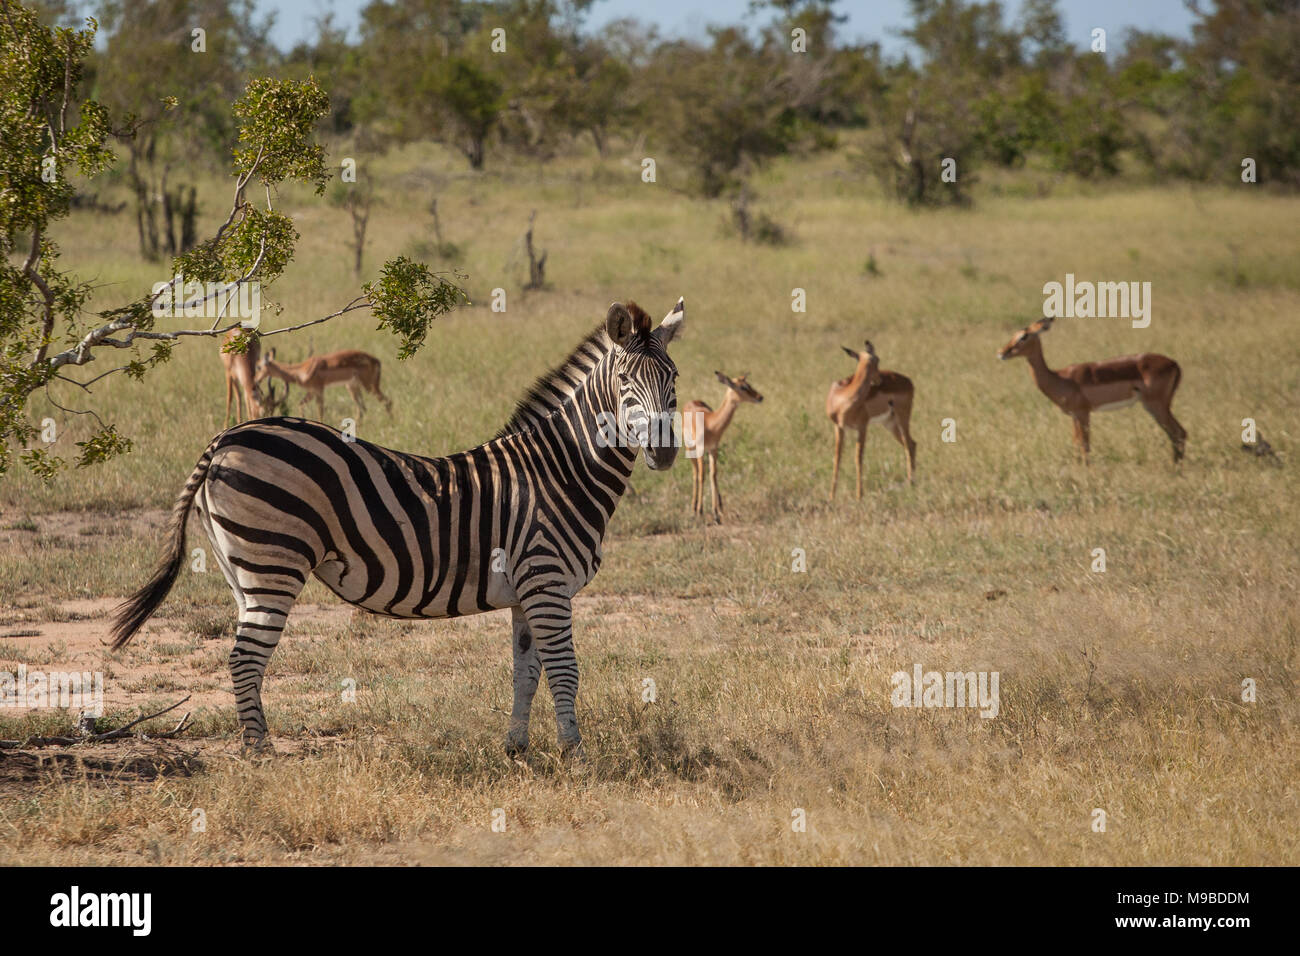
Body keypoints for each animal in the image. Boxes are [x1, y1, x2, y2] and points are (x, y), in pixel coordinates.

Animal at [110, 299, 686, 756]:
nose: (663, 453)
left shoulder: (527, 591)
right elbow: (565, 671)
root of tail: (225, 439)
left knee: (242, 655)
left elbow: (526, 673)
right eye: (626, 382)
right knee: (245, 660)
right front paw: (576, 756)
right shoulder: (547, 581)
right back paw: (261, 756)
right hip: (273, 563)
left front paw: (517, 749)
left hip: (242, 570)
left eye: (674, 380)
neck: (560, 470)